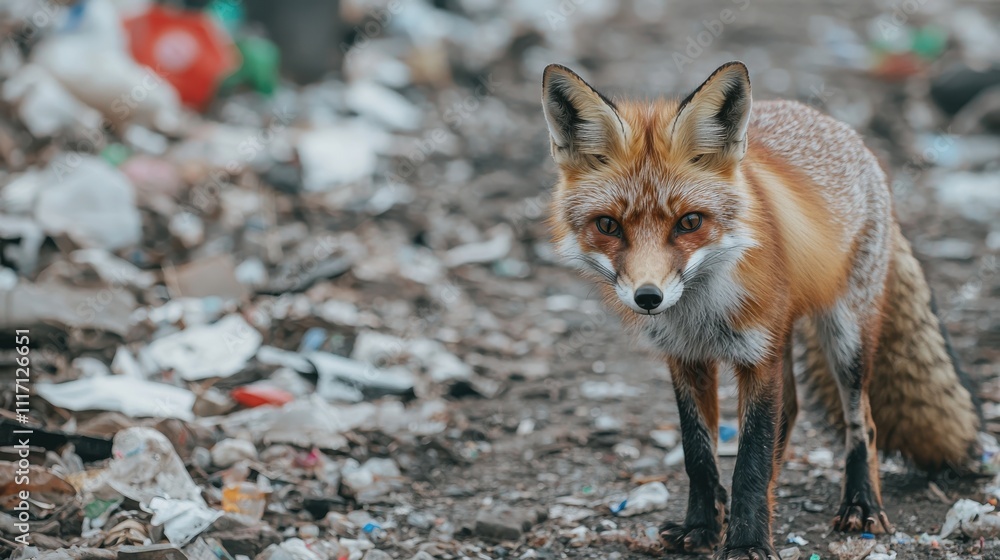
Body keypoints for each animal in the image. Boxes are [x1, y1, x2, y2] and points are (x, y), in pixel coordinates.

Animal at [542, 61, 981, 559]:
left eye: (690, 222)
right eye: (608, 226)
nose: (648, 297)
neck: (701, 311)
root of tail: (845, 132)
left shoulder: (757, 357)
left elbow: (751, 458)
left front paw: (748, 541)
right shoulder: (686, 358)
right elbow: (699, 453)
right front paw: (703, 526)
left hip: (845, 339)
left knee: (862, 421)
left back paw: (862, 505)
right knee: (790, 410)